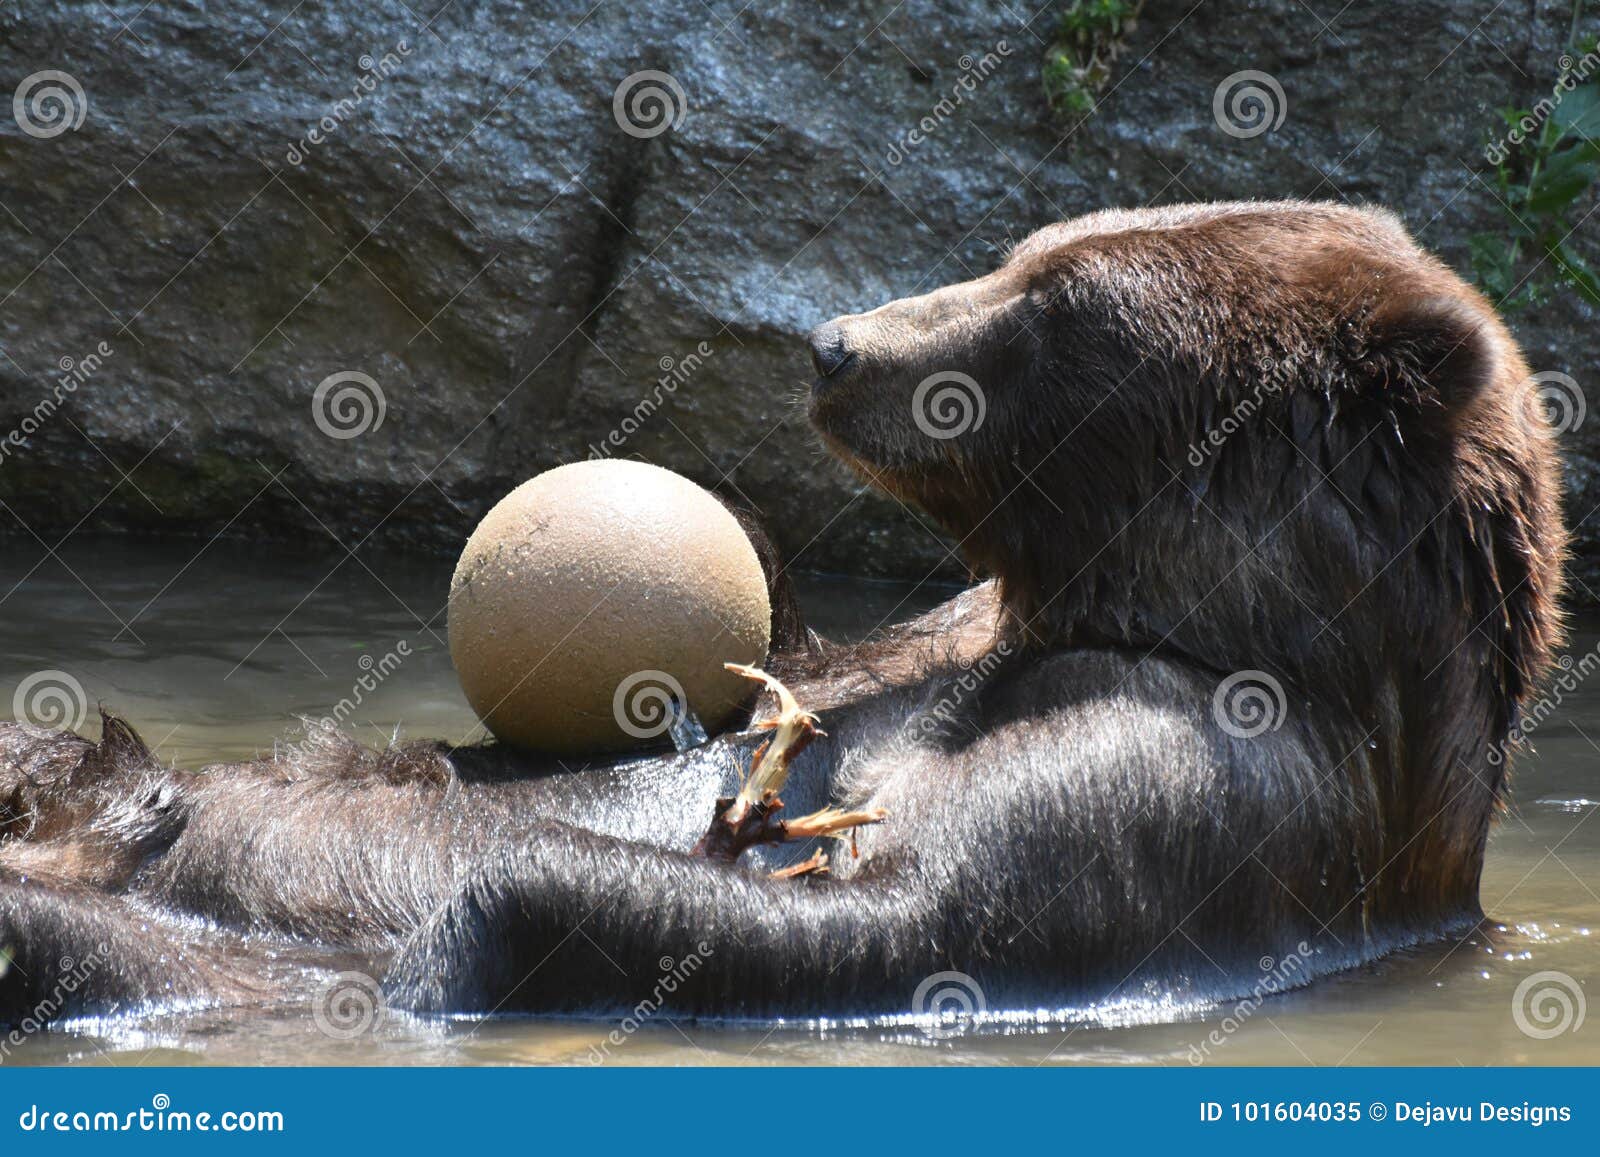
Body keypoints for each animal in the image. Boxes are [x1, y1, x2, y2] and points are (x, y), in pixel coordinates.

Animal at [0, 201, 1565, 1031]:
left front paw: (457, 935)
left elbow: (905, 914)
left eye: (1057, 304)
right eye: (1027, 249)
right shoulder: (940, 635)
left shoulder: (1202, 770)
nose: (836, 344)